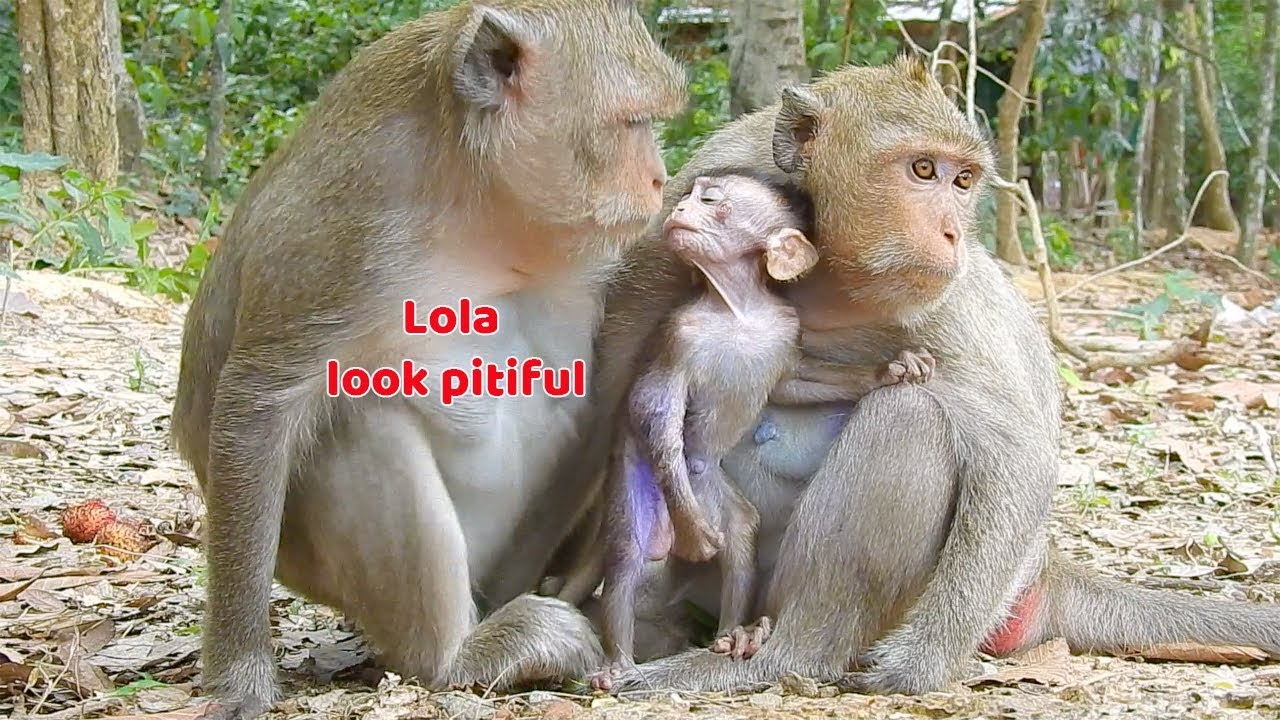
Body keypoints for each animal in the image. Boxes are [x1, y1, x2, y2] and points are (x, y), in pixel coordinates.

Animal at [168, 3, 687, 718]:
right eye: (633, 123)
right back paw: (455, 656)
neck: (481, 212)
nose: (660, 178)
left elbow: (611, 400)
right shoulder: (342, 240)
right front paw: (239, 675)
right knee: (355, 423)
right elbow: (257, 402)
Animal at [590, 171, 936, 689]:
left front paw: (889, 370)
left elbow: (790, 382)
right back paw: (618, 660)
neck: (739, 310)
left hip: (714, 489)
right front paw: (693, 532)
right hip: (642, 474)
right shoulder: (681, 333)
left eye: (712, 200)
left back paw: (734, 634)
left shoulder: (785, 327)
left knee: (740, 533)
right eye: (693, 196)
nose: (678, 211)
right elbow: (655, 407)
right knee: (630, 552)